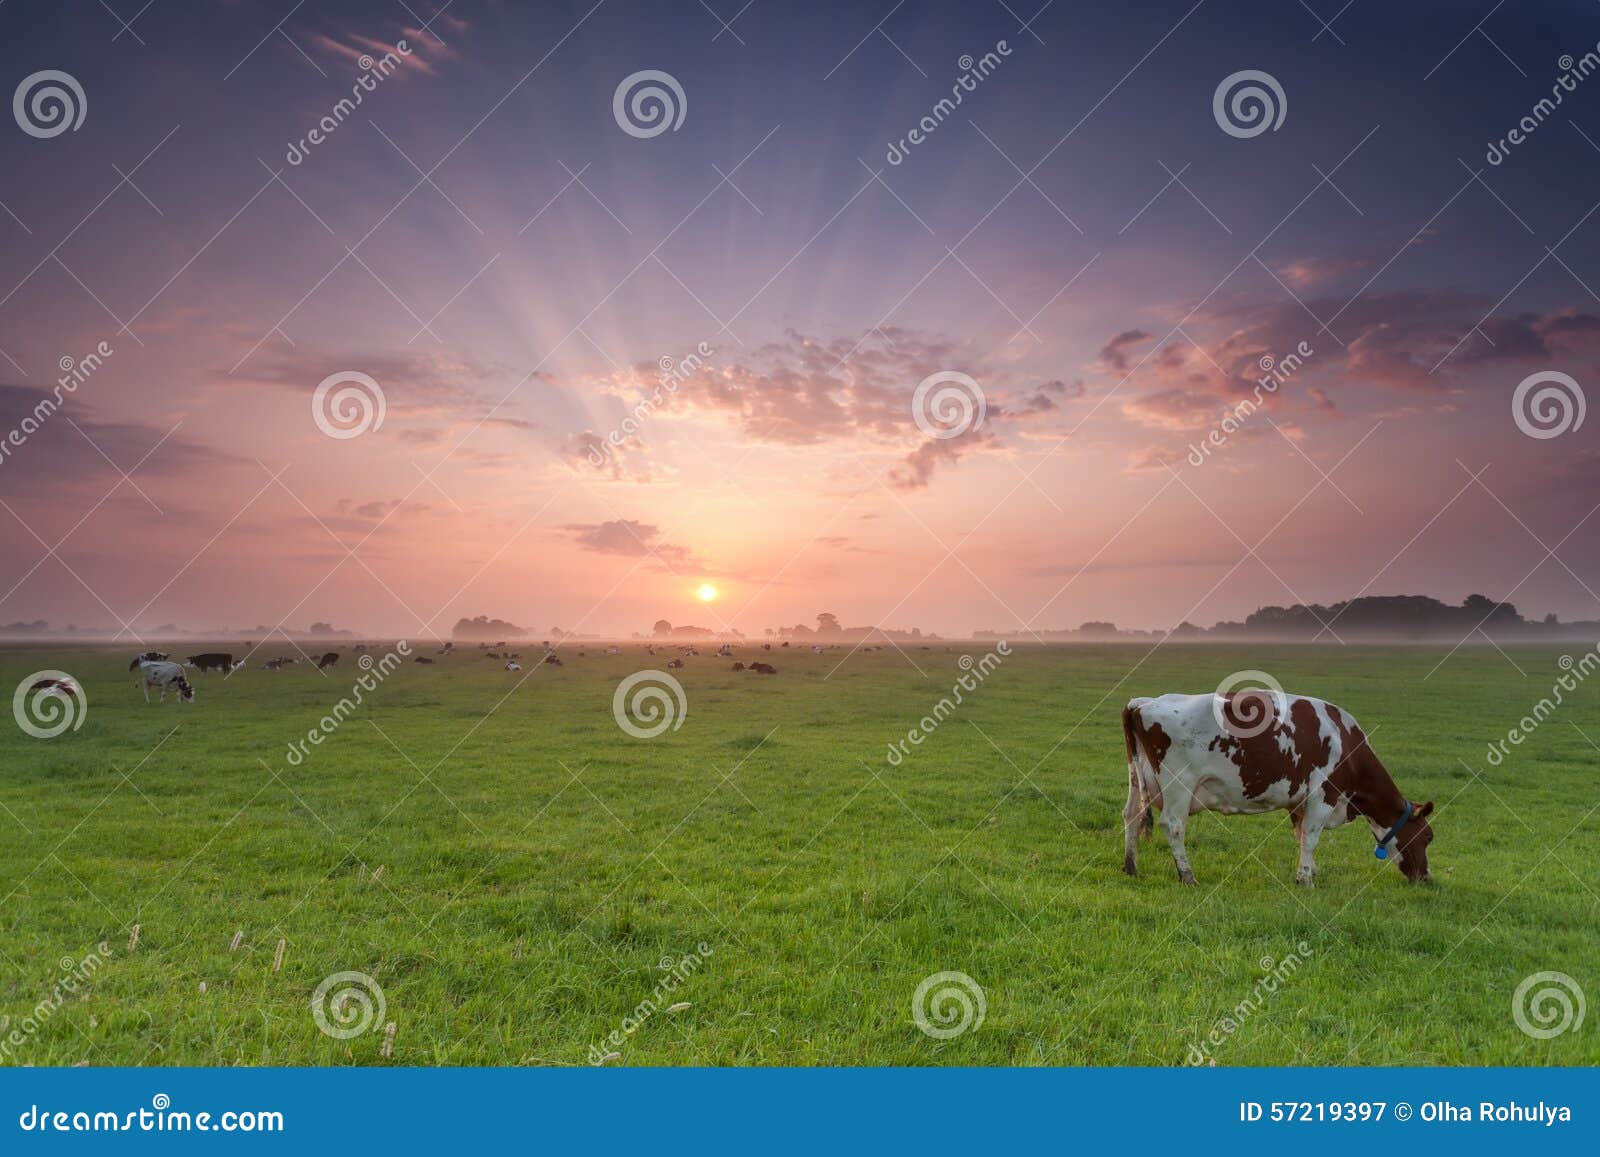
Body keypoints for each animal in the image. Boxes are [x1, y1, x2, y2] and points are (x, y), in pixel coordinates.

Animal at [1122, 691, 1435, 887]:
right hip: (1179, 784)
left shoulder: (1299, 800)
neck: (1345, 740)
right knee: (1173, 825)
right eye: (1427, 837)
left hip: (1137, 779)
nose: (1427, 878)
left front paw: (1310, 871)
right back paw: (1187, 876)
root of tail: (1143, 702)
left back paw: (1131, 867)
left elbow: (1301, 836)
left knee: (1132, 816)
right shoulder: (1324, 794)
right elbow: (1311, 837)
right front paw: (1305, 880)